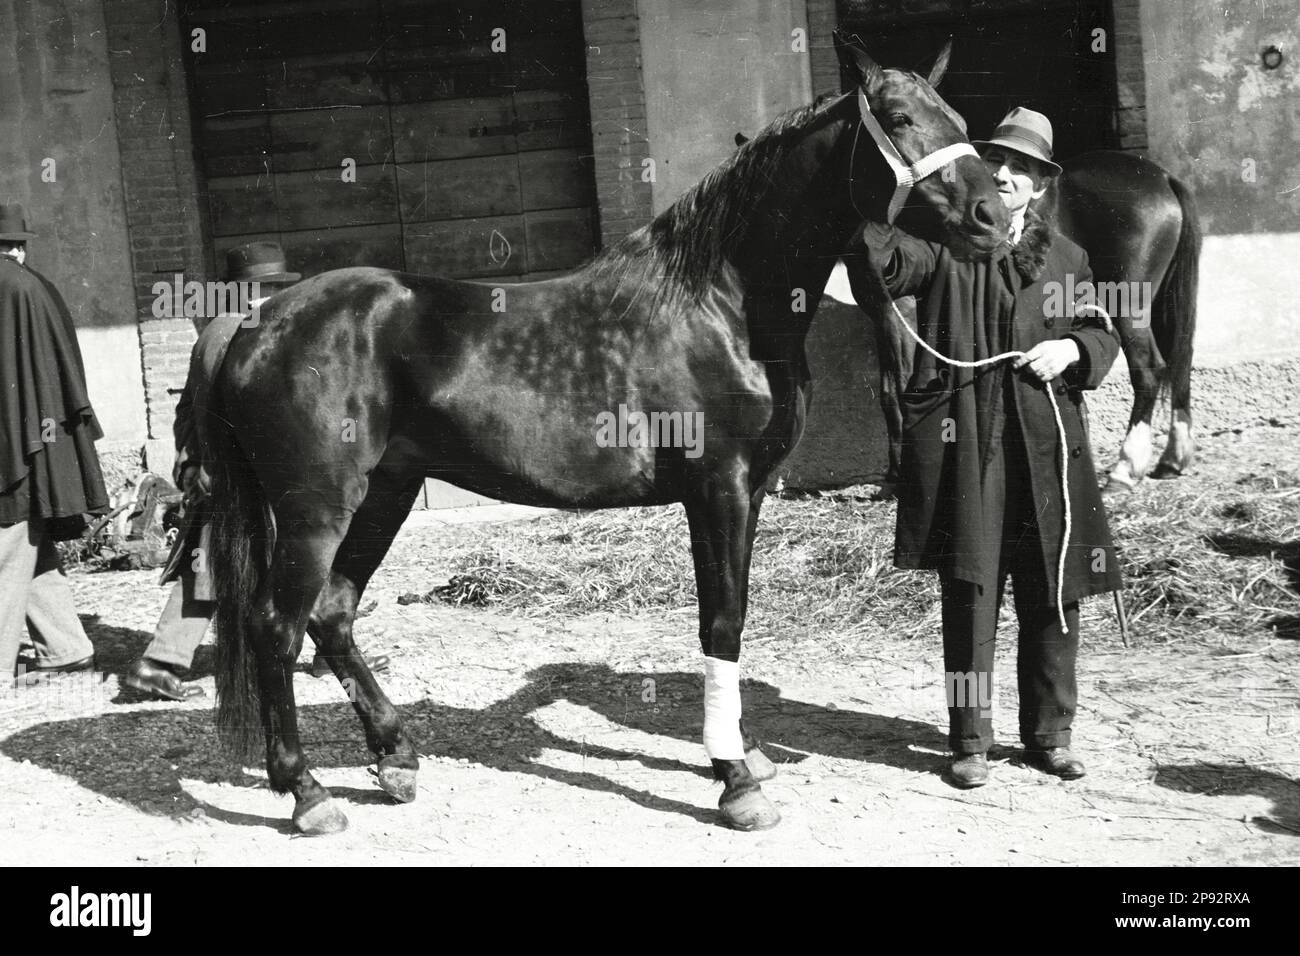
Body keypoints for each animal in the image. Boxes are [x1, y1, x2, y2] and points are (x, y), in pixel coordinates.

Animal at [203, 31, 1010, 837]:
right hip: (317, 509)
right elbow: (722, 623)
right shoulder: (718, 488)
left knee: (332, 613)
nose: (993, 218)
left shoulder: (746, 493)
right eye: (899, 119)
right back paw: (307, 793)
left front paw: (744, 754)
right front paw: (735, 781)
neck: (723, 304)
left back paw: (396, 756)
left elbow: (731, 619)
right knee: (277, 626)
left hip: (385, 492)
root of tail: (255, 324)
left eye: (958, 117)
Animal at [847, 150, 1201, 495]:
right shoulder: (888, 316)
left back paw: (1125, 469)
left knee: (1149, 369)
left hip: (1126, 305)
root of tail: (1163, 178)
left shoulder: (898, 313)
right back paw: (1172, 460)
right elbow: (892, 390)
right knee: (1179, 364)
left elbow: (899, 389)